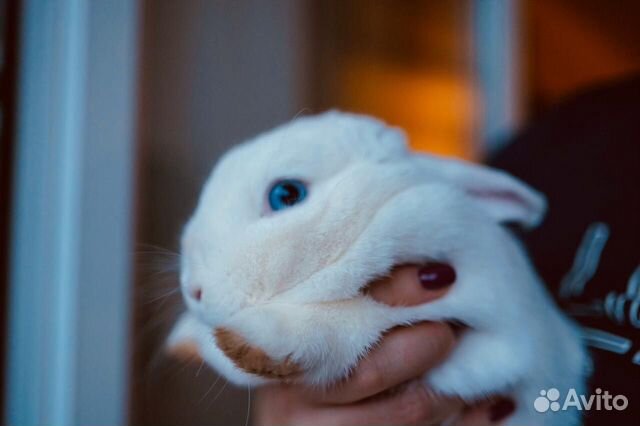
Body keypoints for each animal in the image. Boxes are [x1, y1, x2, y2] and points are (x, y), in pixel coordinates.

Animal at [167, 111, 590, 425]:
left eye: (286, 194)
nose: (194, 291)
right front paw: (187, 340)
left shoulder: (495, 330)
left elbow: (359, 322)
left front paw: (253, 340)